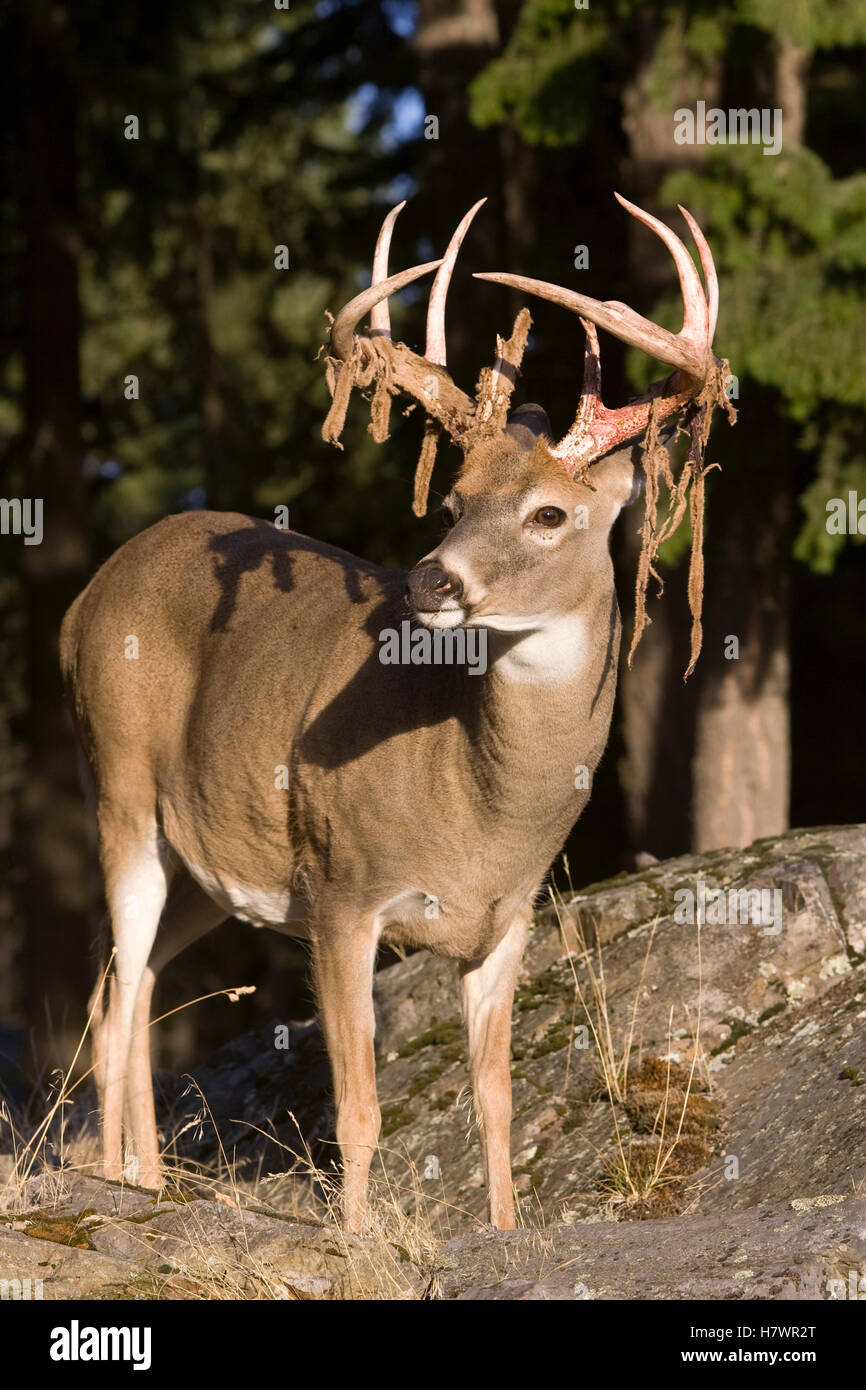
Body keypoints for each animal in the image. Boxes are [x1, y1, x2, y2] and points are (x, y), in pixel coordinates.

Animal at [60, 192, 724, 1232]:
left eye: (548, 514)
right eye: (452, 500)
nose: (430, 578)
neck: (475, 798)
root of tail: (79, 605)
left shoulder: (509, 916)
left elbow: (496, 1100)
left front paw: (505, 1229)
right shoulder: (344, 887)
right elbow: (361, 1106)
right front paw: (357, 1235)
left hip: (201, 864)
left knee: (121, 980)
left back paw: (146, 1176)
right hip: (120, 786)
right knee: (122, 989)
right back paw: (131, 1182)